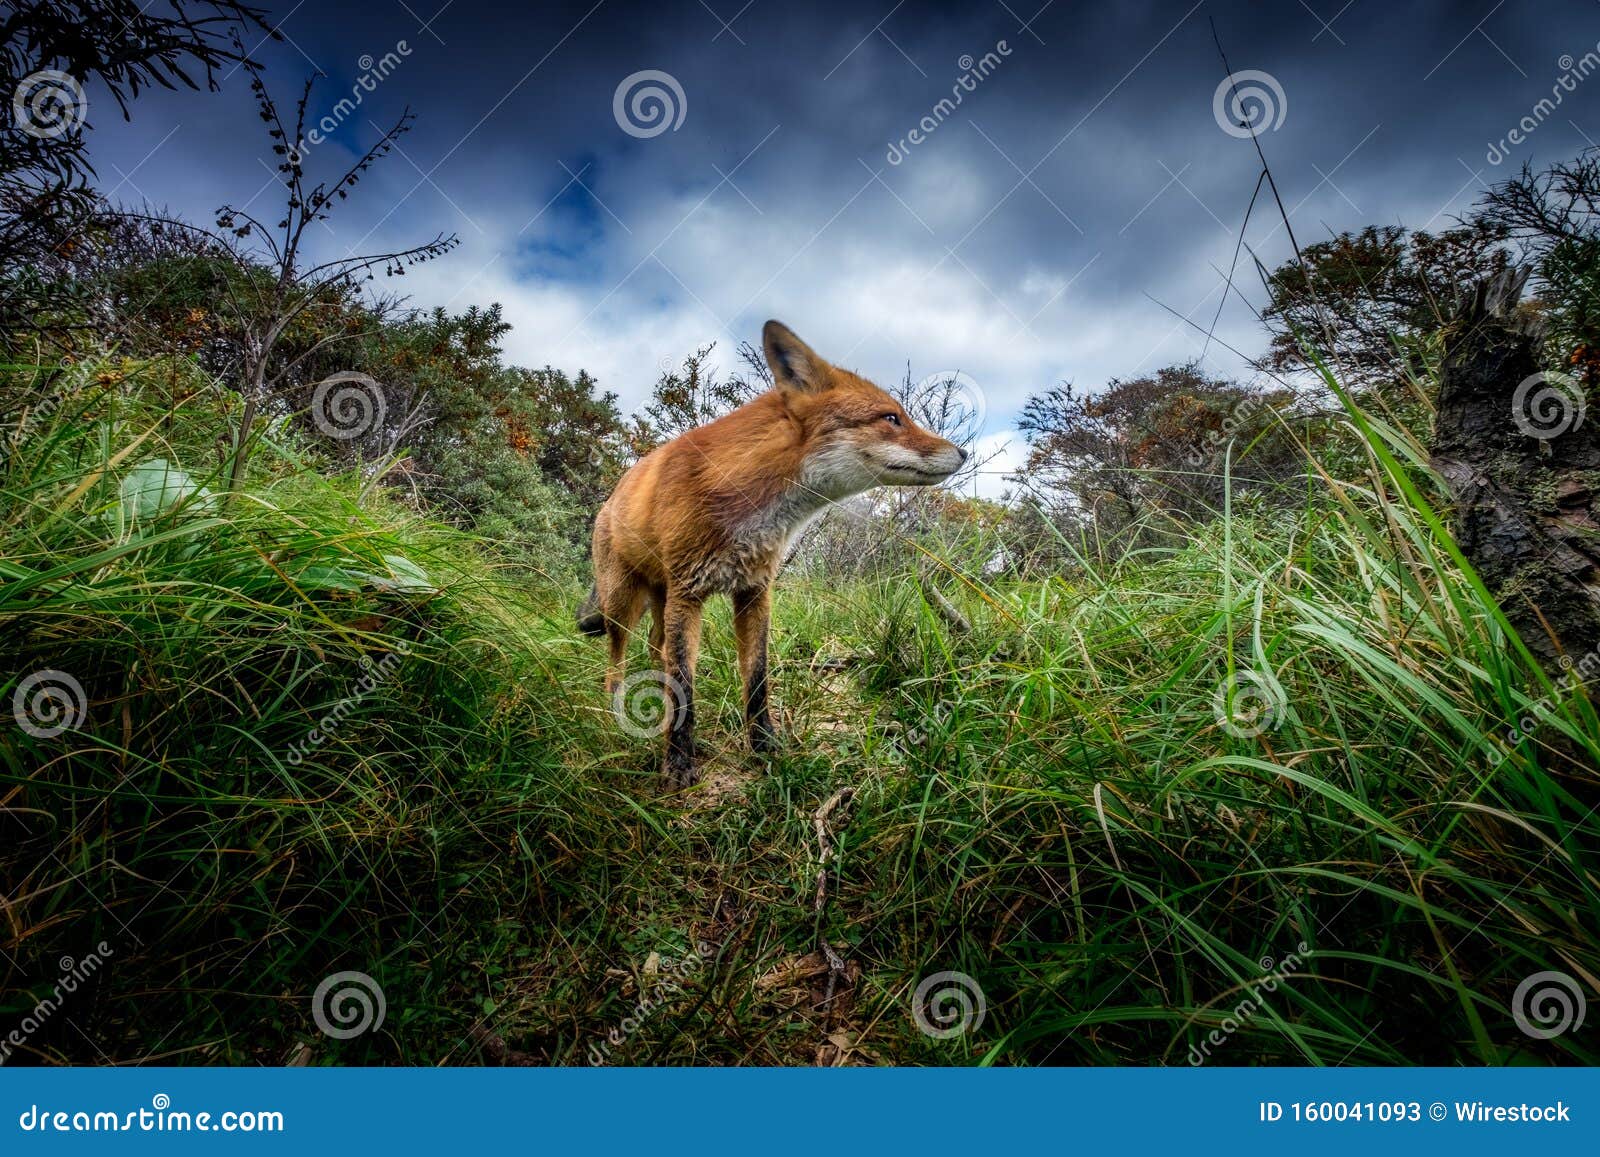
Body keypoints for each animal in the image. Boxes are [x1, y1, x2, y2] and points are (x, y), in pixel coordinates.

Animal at [582, 318, 966, 787]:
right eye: (891, 418)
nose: (963, 451)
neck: (743, 500)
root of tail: (608, 500)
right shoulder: (689, 593)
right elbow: (685, 687)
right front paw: (678, 764)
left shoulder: (755, 591)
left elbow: (757, 679)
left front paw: (765, 747)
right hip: (625, 602)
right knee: (617, 656)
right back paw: (614, 707)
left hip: (661, 598)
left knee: (657, 648)